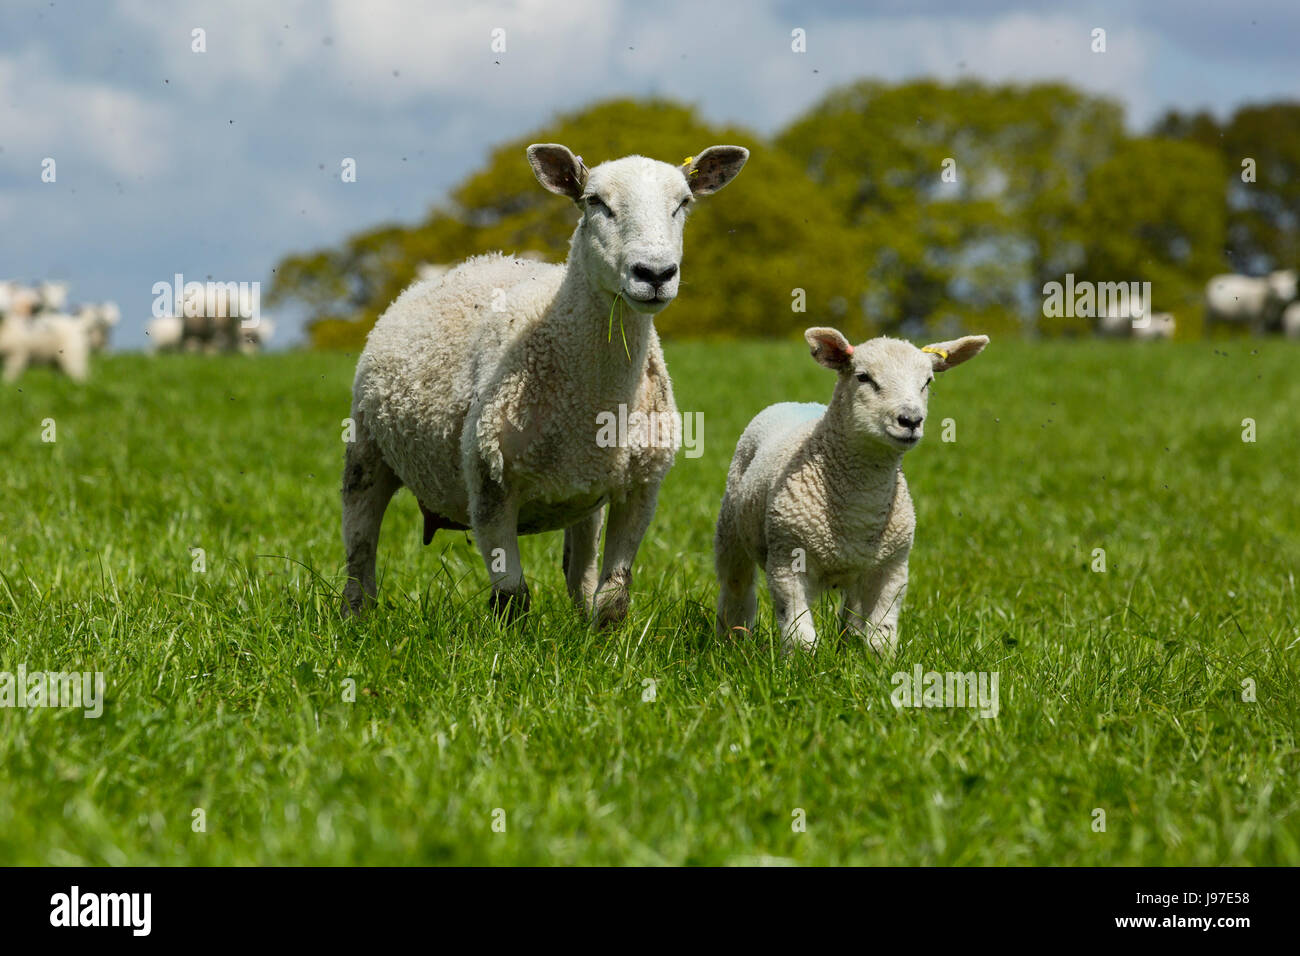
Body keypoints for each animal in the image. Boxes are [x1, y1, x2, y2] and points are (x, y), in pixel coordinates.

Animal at [344, 143, 749, 624]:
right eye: (595, 202)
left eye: (683, 203)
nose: (654, 274)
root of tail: (478, 261)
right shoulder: (489, 482)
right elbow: (512, 598)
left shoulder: (640, 486)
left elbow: (614, 599)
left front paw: (601, 640)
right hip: (366, 446)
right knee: (360, 544)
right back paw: (355, 617)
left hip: (587, 493)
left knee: (581, 570)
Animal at [714, 328, 988, 655]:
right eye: (863, 377)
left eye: (927, 382)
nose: (910, 420)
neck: (860, 502)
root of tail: (798, 403)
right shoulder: (786, 559)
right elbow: (800, 634)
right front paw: (801, 666)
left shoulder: (892, 567)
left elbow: (881, 635)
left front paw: (875, 664)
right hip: (730, 527)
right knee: (736, 586)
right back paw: (732, 640)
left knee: (853, 614)